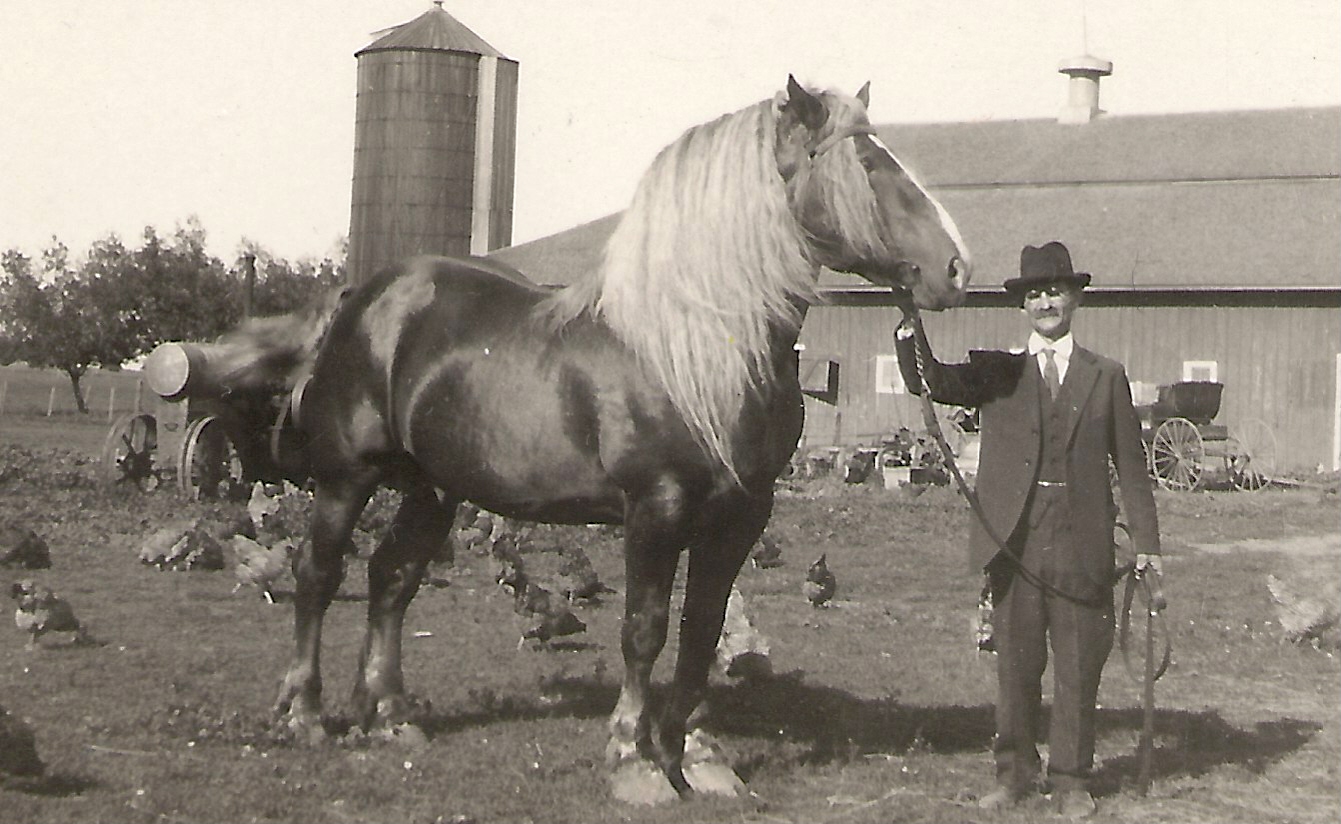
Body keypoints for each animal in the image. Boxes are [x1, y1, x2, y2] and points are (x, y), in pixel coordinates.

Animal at [252, 75, 970, 803]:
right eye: (869, 163)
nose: (955, 268)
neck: (692, 354)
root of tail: (364, 300)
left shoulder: (741, 514)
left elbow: (703, 629)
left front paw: (696, 754)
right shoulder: (656, 509)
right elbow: (643, 630)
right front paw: (635, 759)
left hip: (433, 489)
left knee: (390, 580)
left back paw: (392, 718)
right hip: (347, 478)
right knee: (318, 575)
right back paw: (304, 714)